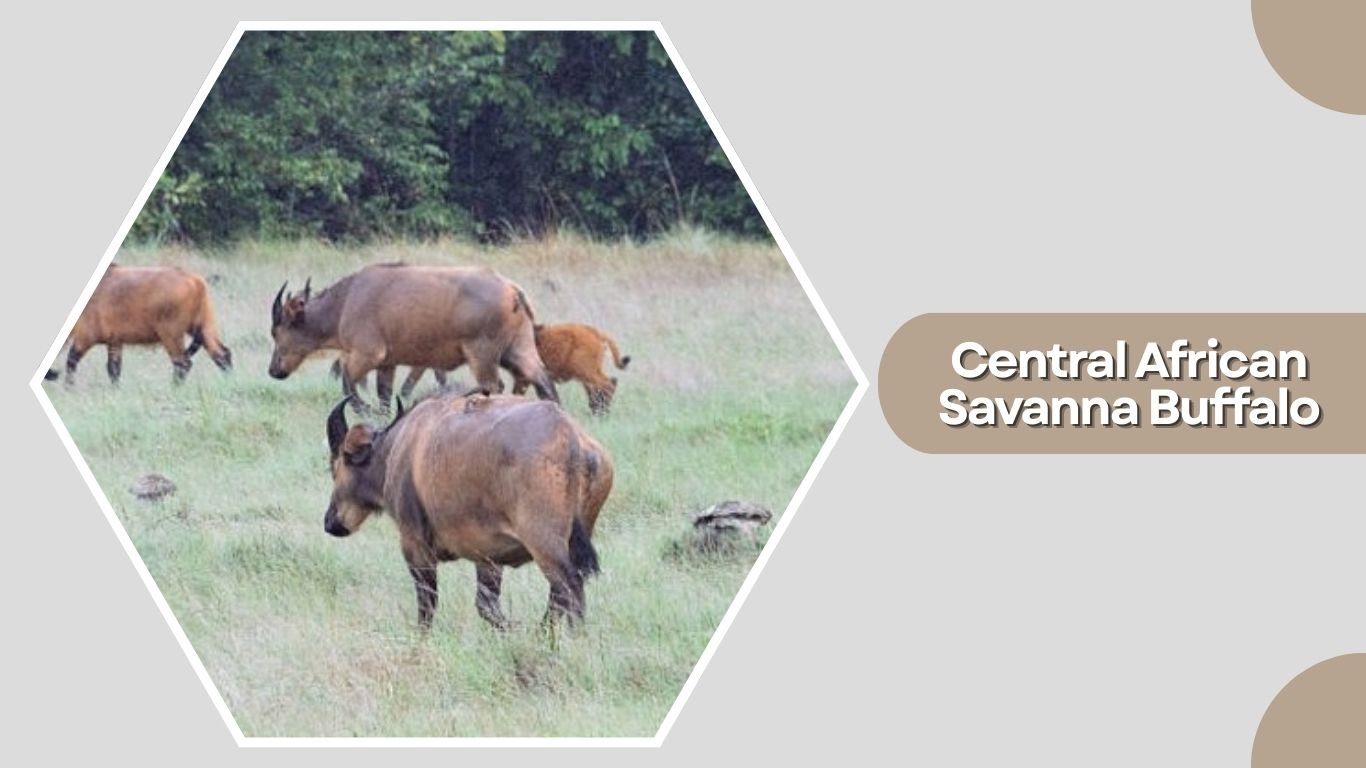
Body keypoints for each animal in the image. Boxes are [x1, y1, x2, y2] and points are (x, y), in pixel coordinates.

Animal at [54, 264, 232, 385]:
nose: (52, 375)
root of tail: (195, 280)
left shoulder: (86, 336)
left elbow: (71, 360)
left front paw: (69, 388)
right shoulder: (115, 342)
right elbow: (114, 369)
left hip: (171, 334)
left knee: (183, 363)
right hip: (204, 328)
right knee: (222, 354)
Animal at [269, 263, 558, 410]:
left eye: (277, 331)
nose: (273, 370)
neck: (348, 299)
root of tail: (513, 291)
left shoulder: (366, 355)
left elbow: (349, 385)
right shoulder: (388, 363)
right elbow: (384, 394)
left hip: (482, 356)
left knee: (494, 386)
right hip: (518, 352)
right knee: (543, 380)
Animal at [324, 389, 613, 628]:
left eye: (336, 466)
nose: (331, 522)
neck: (405, 442)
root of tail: (573, 439)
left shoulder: (415, 546)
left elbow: (427, 605)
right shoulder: (488, 558)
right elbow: (487, 606)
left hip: (545, 546)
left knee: (570, 589)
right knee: (558, 597)